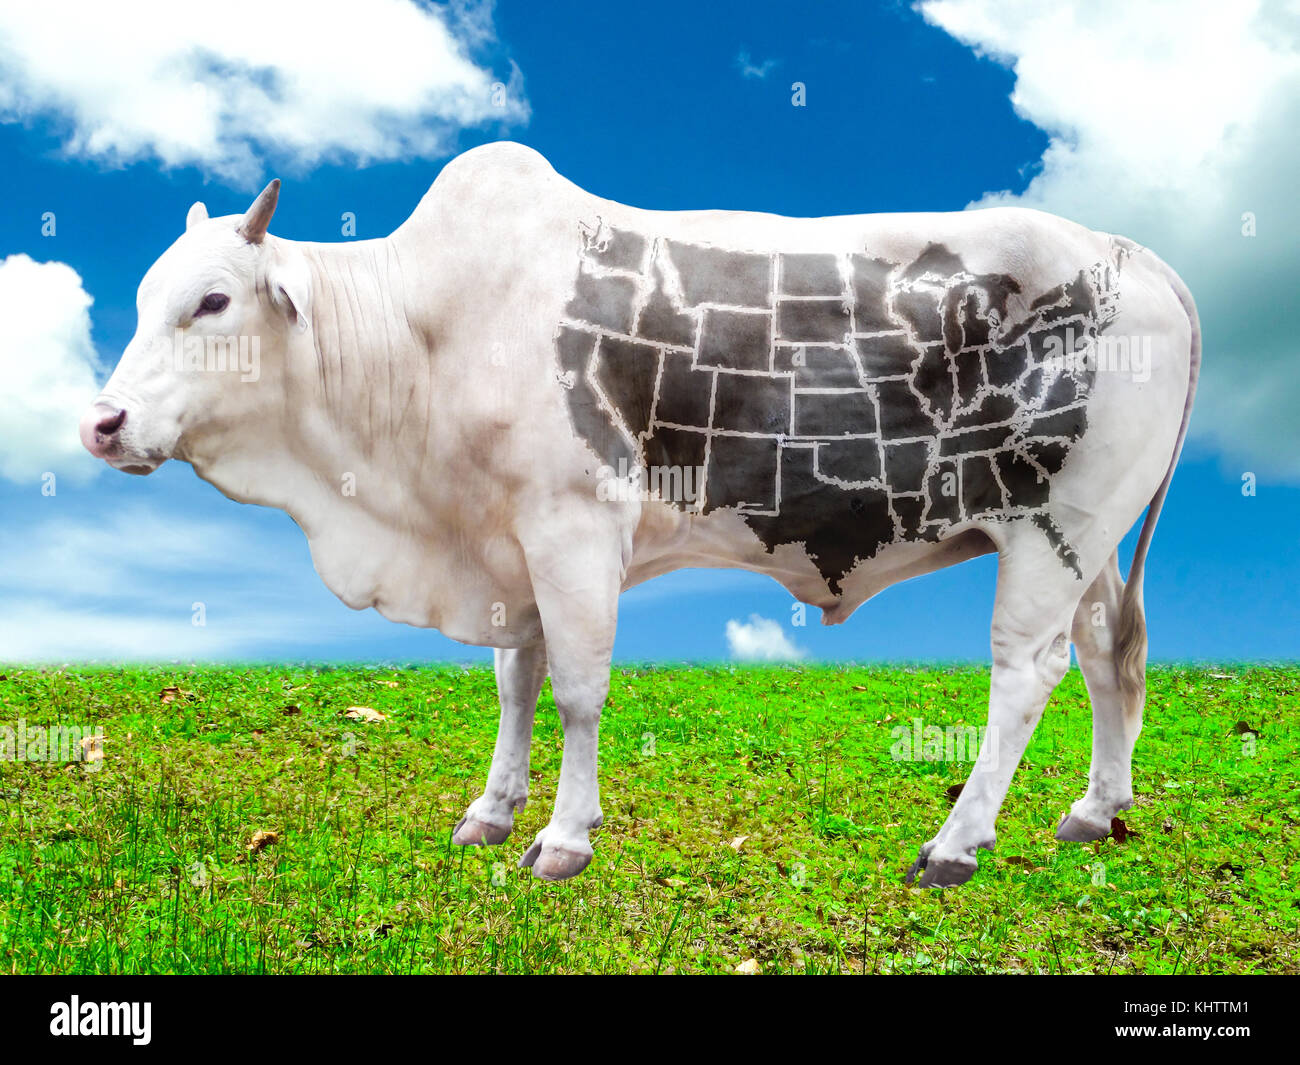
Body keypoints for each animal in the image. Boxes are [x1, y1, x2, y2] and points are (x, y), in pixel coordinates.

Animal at [79, 142, 1199, 886]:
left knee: (1026, 673)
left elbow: (576, 689)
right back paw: (1095, 807)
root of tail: (1135, 252)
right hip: (1088, 540)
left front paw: (563, 836)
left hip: (1056, 530)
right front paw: (491, 808)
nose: (101, 422)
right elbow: (515, 680)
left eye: (213, 302)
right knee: (1109, 650)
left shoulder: (572, 525)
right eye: (142, 298)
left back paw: (955, 843)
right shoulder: (509, 543)